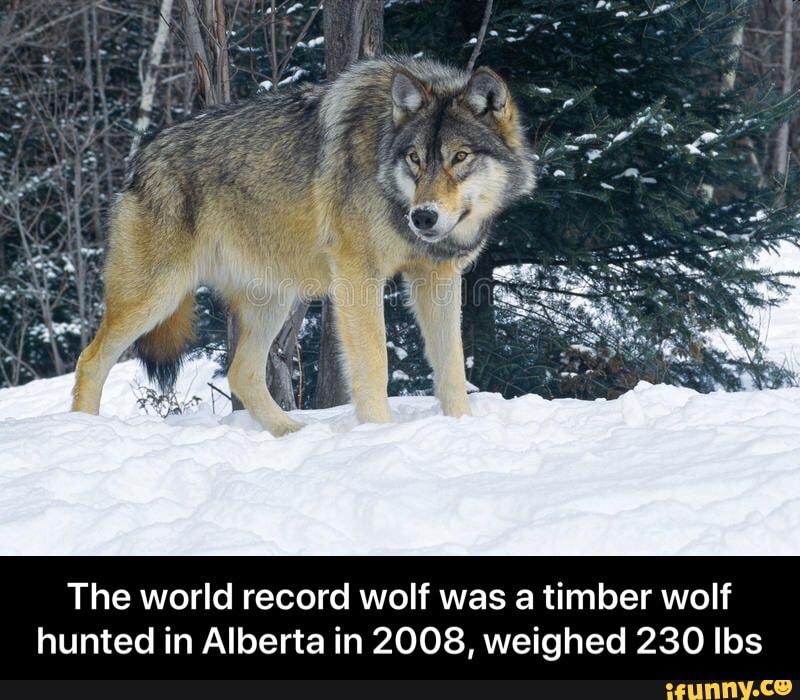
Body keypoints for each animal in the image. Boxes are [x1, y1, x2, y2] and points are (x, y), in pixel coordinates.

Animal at [72, 56, 535, 436]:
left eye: (460, 157)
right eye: (415, 159)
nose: (422, 217)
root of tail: (140, 157)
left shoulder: (437, 278)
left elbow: (452, 367)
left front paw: (461, 429)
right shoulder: (358, 276)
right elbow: (374, 366)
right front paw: (381, 435)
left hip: (273, 300)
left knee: (242, 373)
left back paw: (290, 432)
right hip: (156, 297)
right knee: (90, 360)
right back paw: (83, 432)